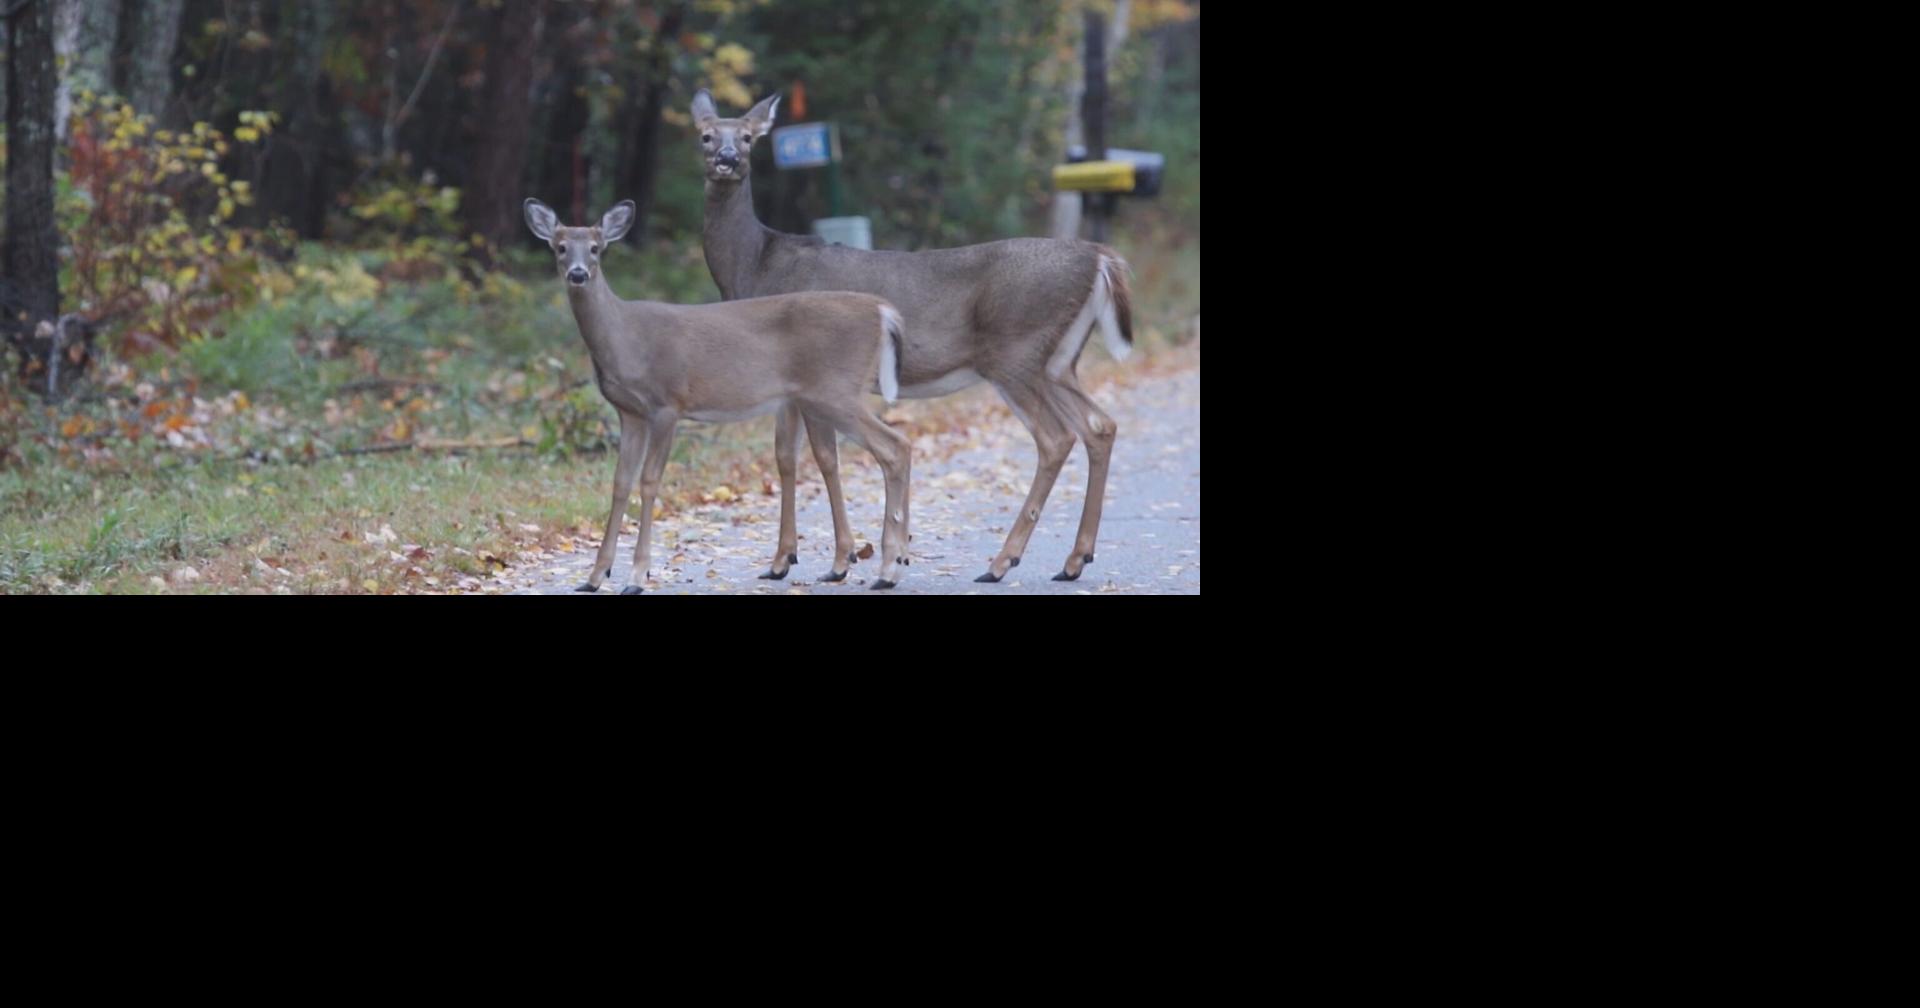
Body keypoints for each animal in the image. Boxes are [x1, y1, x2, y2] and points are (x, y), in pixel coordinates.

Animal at [524, 197, 913, 593]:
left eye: (595, 248)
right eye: (560, 247)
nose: (577, 274)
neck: (625, 339)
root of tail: (883, 311)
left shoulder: (667, 403)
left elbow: (649, 482)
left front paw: (637, 575)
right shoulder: (629, 412)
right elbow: (620, 483)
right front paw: (594, 576)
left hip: (834, 389)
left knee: (896, 445)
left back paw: (888, 569)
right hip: (824, 395)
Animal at [692, 89, 1133, 586]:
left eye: (748, 137)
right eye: (706, 135)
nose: (727, 159)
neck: (755, 266)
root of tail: (1100, 257)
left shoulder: (811, 372)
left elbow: (824, 458)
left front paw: (841, 559)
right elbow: (785, 457)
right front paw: (782, 560)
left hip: (1015, 353)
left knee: (1056, 438)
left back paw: (1002, 563)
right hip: (1058, 361)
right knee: (1100, 425)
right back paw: (1074, 559)